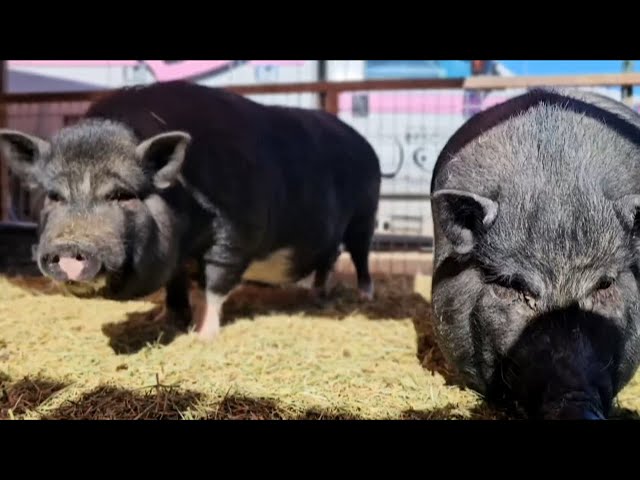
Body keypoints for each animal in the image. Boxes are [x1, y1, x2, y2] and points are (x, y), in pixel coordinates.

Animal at [0, 80, 381, 340]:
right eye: (53, 196)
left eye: (122, 194)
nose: (70, 247)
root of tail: (365, 143)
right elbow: (175, 283)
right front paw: (162, 320)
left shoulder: (237, 233)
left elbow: (216, 283)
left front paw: (203, 336)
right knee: (330, 258)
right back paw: (317, 295)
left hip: (366, 214)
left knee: (360, 254)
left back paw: (365, 295)